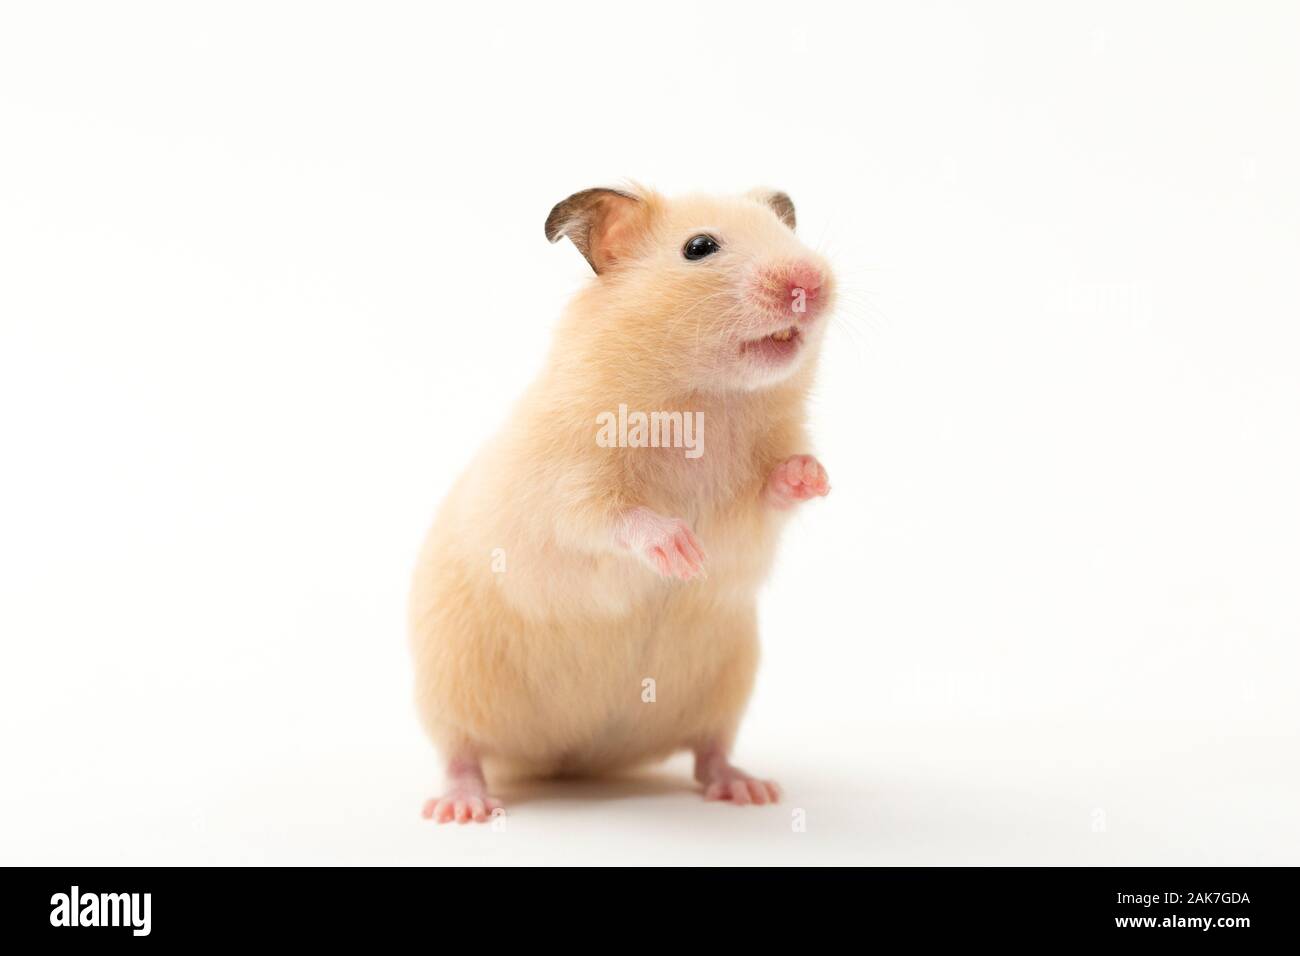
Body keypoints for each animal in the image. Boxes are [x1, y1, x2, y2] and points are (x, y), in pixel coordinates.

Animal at [409, 184, 834, 823]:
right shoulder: (567, 484)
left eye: (789, 235)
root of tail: (575, 758)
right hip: (450, 680)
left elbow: (773, 491)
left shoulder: (749, 512)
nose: (814, 282)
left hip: (727, 679)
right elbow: (611, 518)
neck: (706, 399)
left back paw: (748, 789)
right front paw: (681, 552)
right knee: (463, 752)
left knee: (709, 751)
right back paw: (463, 807)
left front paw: (816, 476)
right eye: (699, 247)